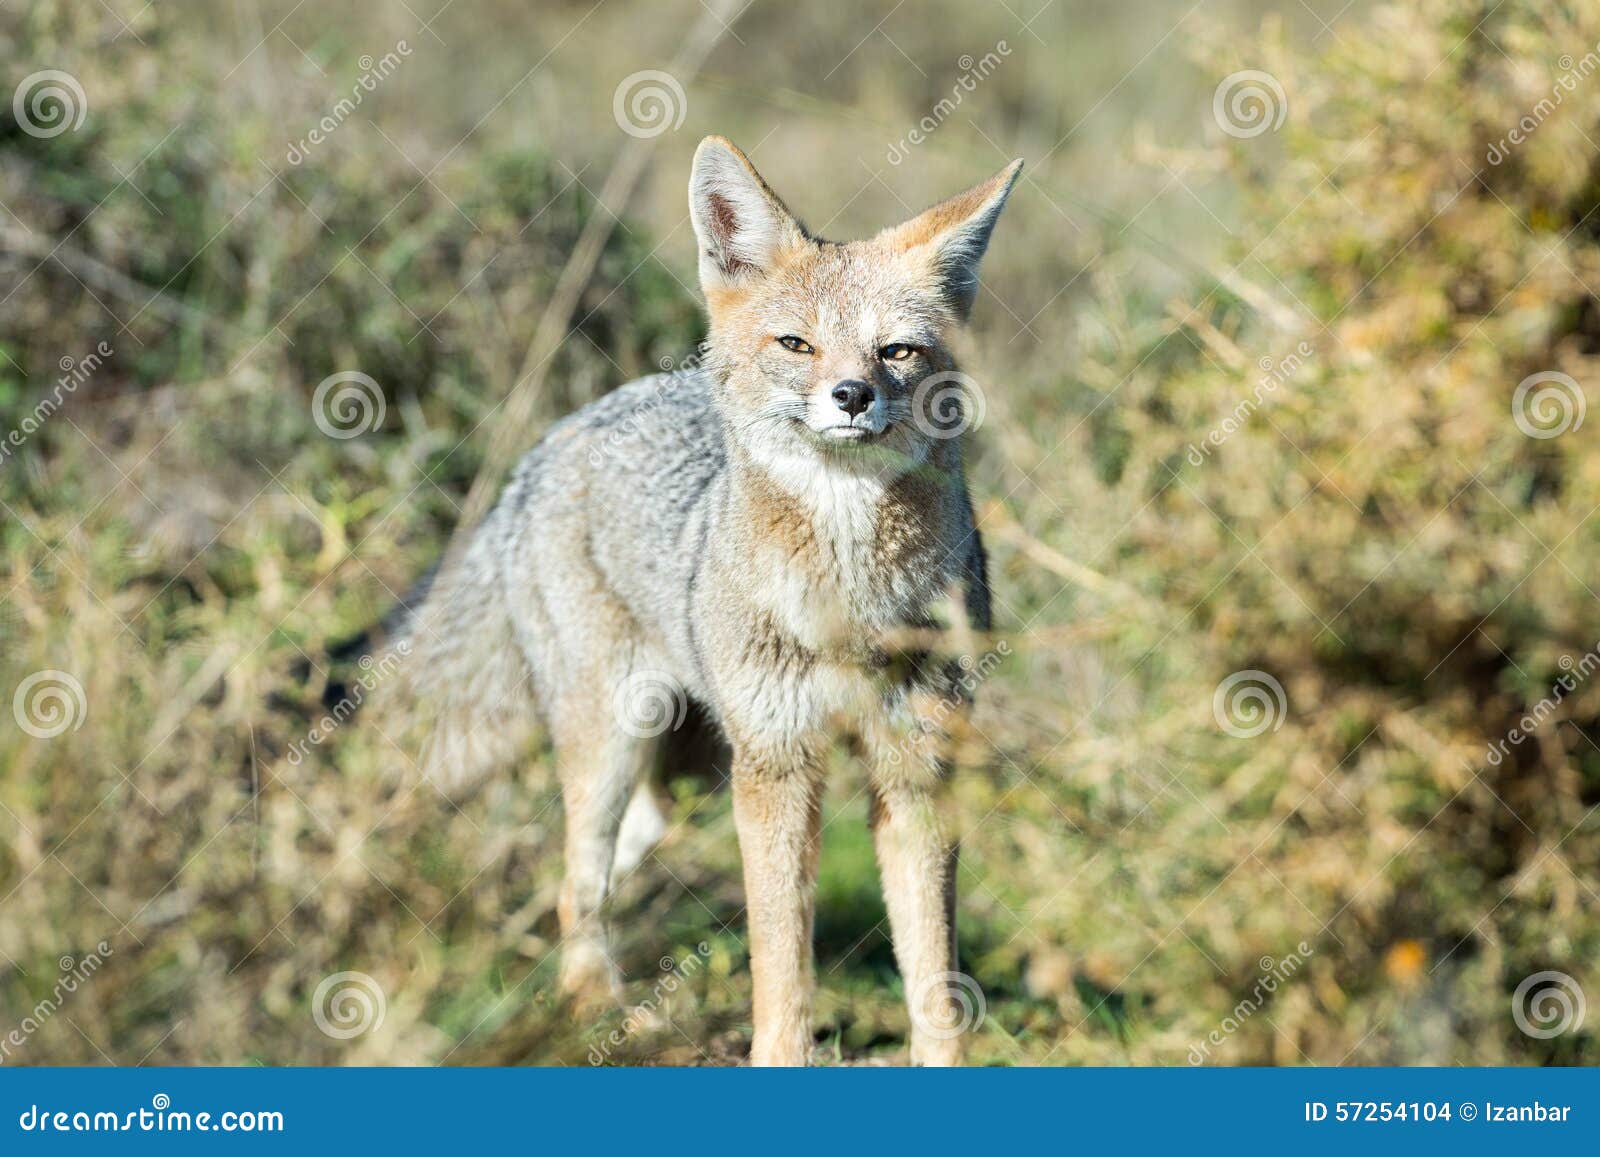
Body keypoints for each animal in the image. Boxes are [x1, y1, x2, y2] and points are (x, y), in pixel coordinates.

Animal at [396, 136, 1021, 1066]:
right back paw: (597, 1009)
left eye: (897, 353)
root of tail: (556, 434)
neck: (848, 600)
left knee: (610, 855)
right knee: (575, 884)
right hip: (619, 738)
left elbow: (933, 974)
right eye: (797, 344)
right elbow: (781, 958)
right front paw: (782, 1057)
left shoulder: (916, 764)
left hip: (685, 767)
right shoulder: (777, 768)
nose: (852, 395)